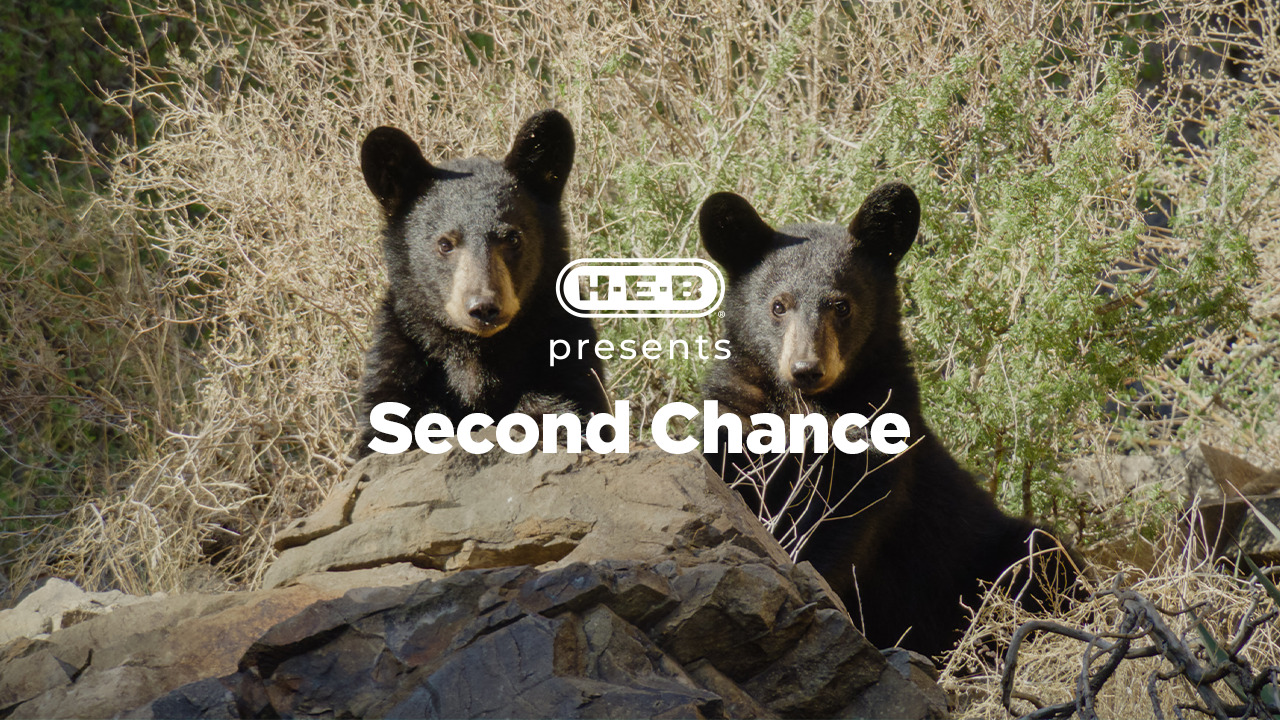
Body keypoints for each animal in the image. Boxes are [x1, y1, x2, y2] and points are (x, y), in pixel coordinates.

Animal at [355, 110, 609, 457]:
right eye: (445, 243)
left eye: (512, 237)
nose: (484, 307)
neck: (476, 354)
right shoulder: (400, 361)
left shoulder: (563, 345)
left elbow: (574, 406)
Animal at [698, 182, 1080, 658]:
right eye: (778, 306)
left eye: (841, 306)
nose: (807, 369)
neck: (803, 407)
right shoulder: (736, 414)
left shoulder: (881, 444)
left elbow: (845, 528)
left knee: (1042, 556)